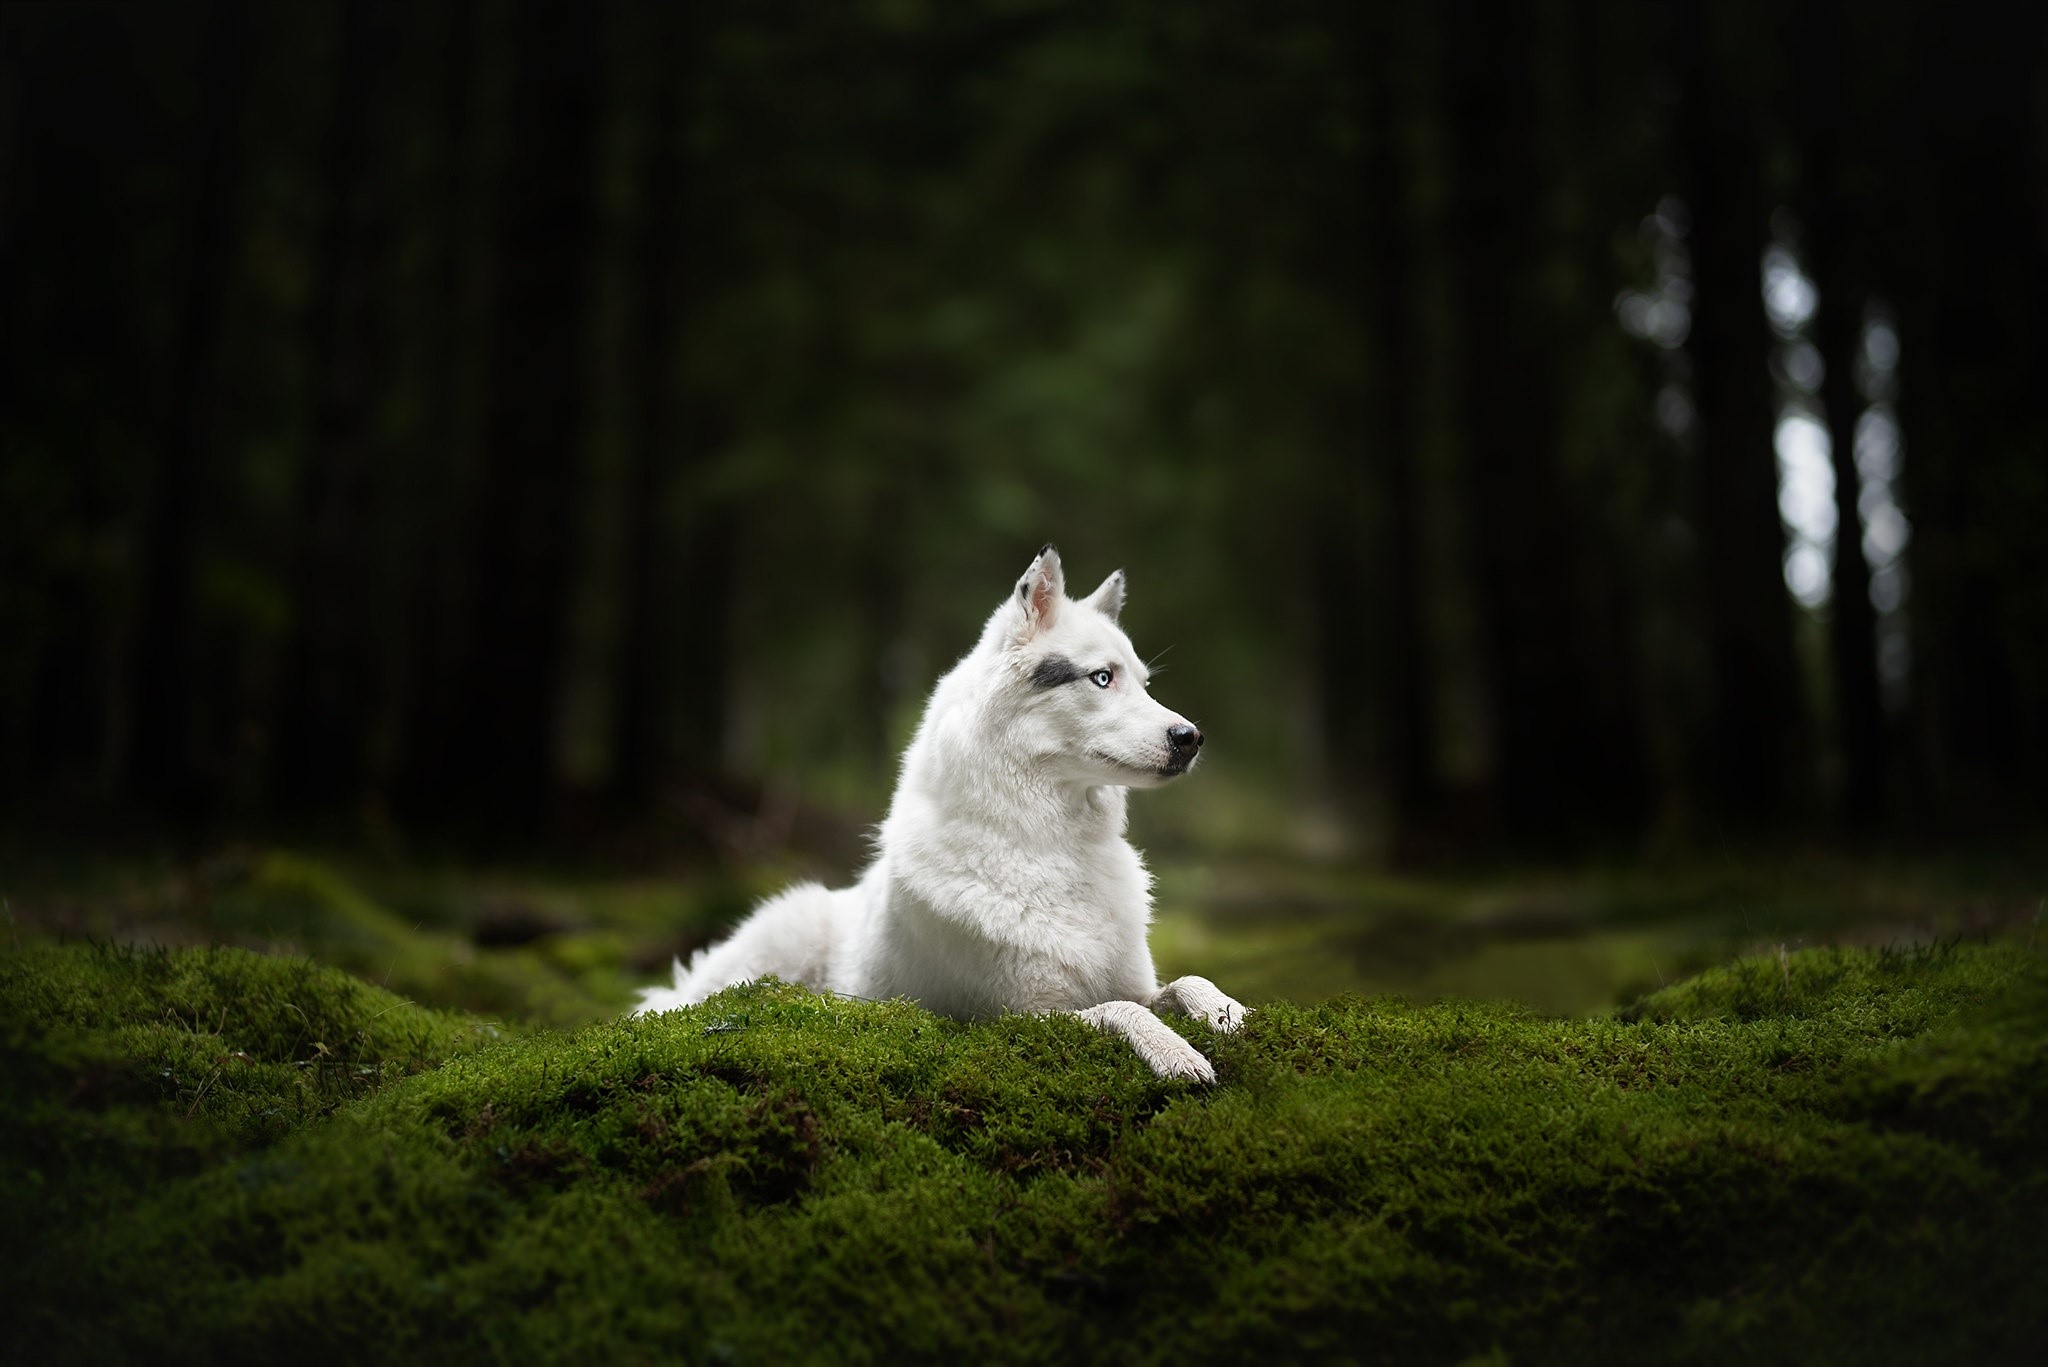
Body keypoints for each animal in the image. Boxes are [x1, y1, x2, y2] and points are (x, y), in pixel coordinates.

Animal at [635, 545, 1245, 1081]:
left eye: (1143, 684)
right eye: (1102, 678)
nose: (1191, 738)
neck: (1047, 845)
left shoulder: (1133, 982)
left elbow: (1186, 982)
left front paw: (1231, 1014)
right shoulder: (1025, 1016)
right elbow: (1124, 1011)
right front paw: (1175, 1052)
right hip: (781, 935)